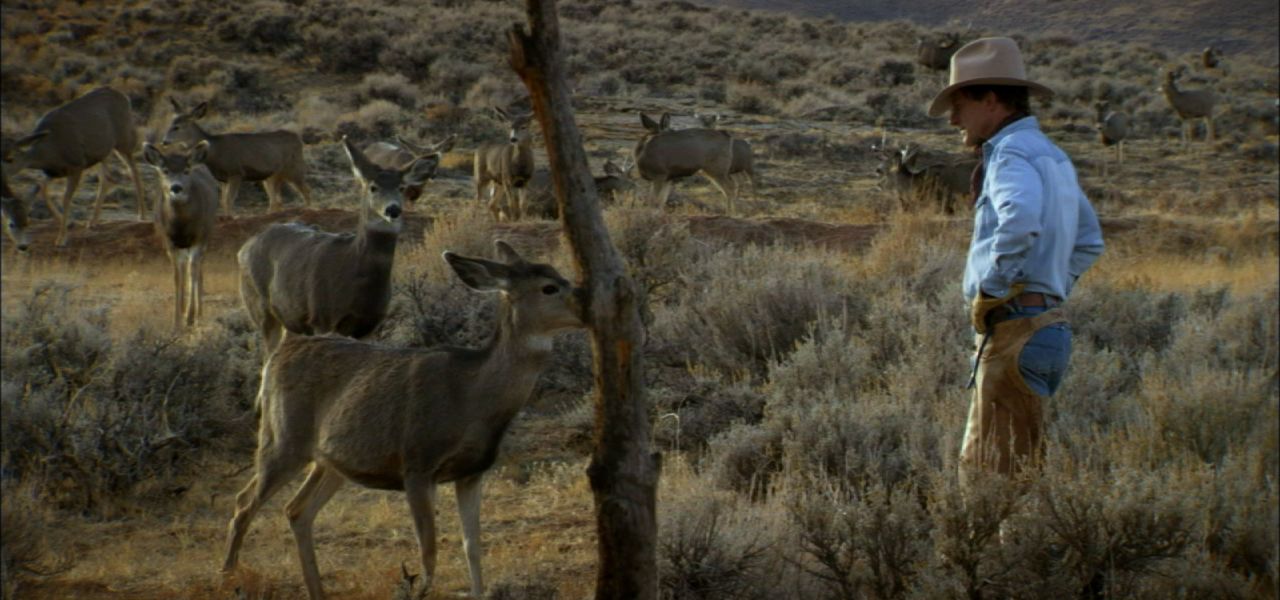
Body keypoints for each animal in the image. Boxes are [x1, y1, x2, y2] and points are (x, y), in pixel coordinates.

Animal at [1, 86, 148, 247]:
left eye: (10, 159)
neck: (49, 150)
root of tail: (125, 97)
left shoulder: (77, 165)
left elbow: (65, 198)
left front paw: (61, 238)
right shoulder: (53, 172)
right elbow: (43, 190)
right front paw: (68, 223)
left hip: (124, 140)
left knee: (133, 171)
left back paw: (141, 215)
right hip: (100, 153)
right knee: (106, 178)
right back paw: (93, 221)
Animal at [142, 142, 220, 330]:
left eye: (186, 170)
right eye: (165, 170)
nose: (176, 187)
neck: (181, 227)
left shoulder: (198, 238)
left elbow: (193, 273)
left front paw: (190, 318)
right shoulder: (169, 242)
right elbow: (177, 277)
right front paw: (176, 323)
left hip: (206, 234)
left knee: (198, 270)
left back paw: (198, 314)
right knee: (186, 269)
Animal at [164, 98, 313, 217]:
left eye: (177, 127)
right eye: (170, 125)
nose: (164, 141)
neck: (214, 152)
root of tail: (298, 139)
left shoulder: (236, 172)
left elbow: (229, 200)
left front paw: (231, 217)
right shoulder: (222, 179)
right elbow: (223, 201)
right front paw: (227, 217)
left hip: (294, 167)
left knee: (306, 190)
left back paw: (308, 210)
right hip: (272, 176)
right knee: (276, 200)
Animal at [221, 240, 584, 600]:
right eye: (549, 287)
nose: (586, 305)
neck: (472, 399)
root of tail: (274, 359)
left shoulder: (472, 472)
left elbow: (473, 547)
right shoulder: (417, 463)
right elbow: (429, 553)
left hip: (331, 461)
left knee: (296, 510)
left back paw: (316, 591)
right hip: (283, 437)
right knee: (244, 503)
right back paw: (227, 579)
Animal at [237, 136, 443, 355]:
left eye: (401, 187)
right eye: (373, 187)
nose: (393, 209)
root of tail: (244, 248)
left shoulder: (371, 324)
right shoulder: (322, 317)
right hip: (260, 307)